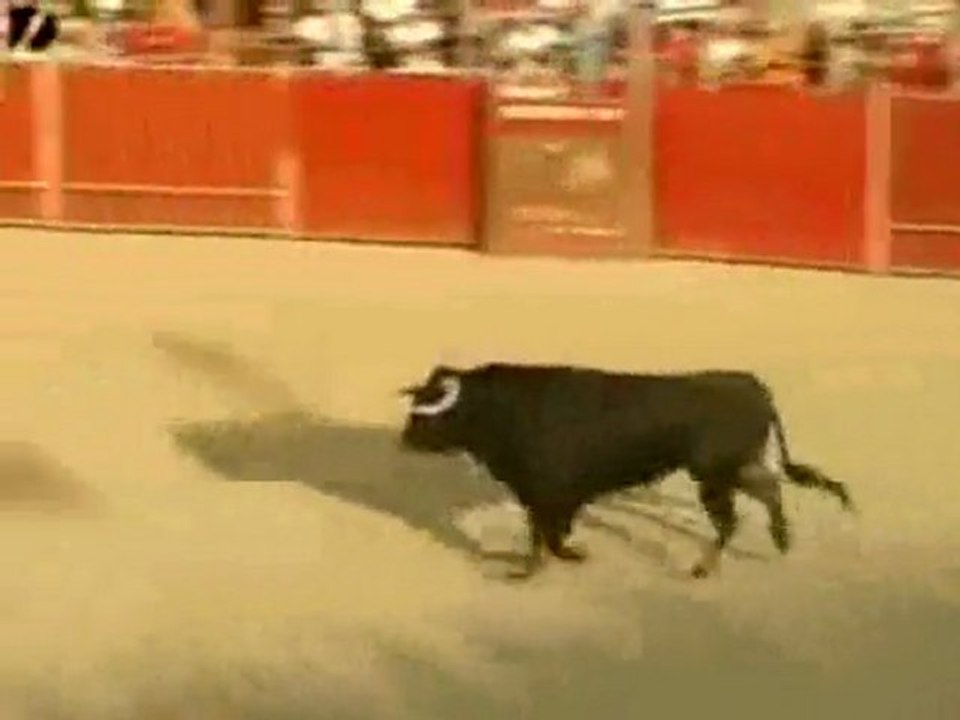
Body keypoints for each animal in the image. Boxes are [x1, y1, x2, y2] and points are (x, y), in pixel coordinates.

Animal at [399, 362, 853, 580]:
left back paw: (703, 568)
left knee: (733, 516)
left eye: (426, 416)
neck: (502, 409)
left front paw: (551, 563)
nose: (404, 441)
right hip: (725, 469)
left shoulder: (551, 492)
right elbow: (545, 535)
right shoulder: (545, 494)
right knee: (768, 489)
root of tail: (754, 386)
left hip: (713, 474)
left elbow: (546, 536)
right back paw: (780, 541)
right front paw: (547, 563)